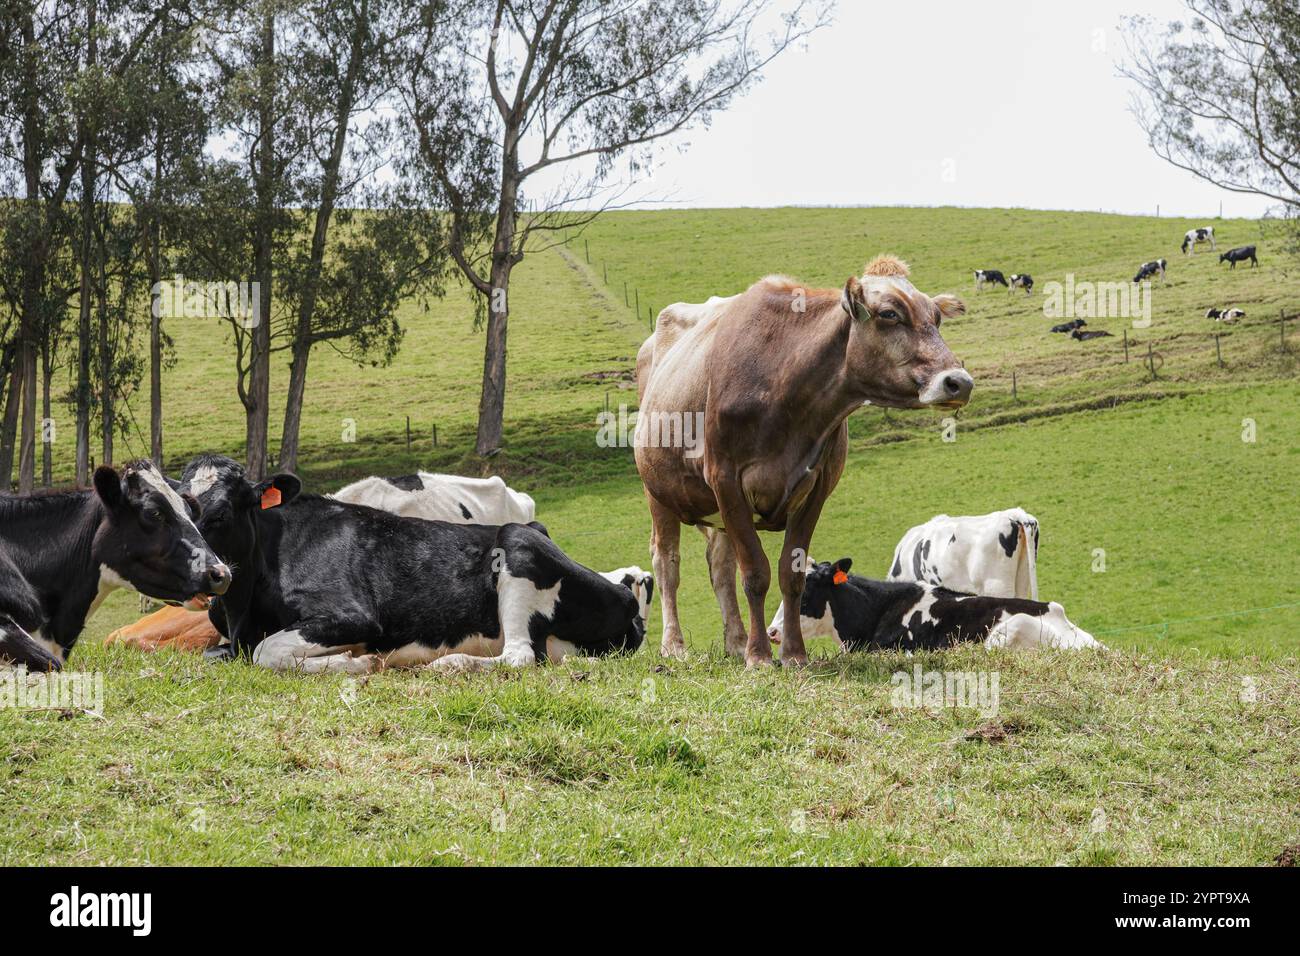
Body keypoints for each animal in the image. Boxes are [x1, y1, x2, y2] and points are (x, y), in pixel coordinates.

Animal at [635, 254, 973, 667]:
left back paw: (735, 641)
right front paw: (760, 657)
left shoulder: (815, 489)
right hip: (658, 491)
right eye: (889, 313)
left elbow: (790, 574)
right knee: (667, 563)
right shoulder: (726, 479)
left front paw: (793, 654)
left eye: (936, 317)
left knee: (720, 565)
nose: (959, 382)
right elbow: (755, 573)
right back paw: (675, 645)